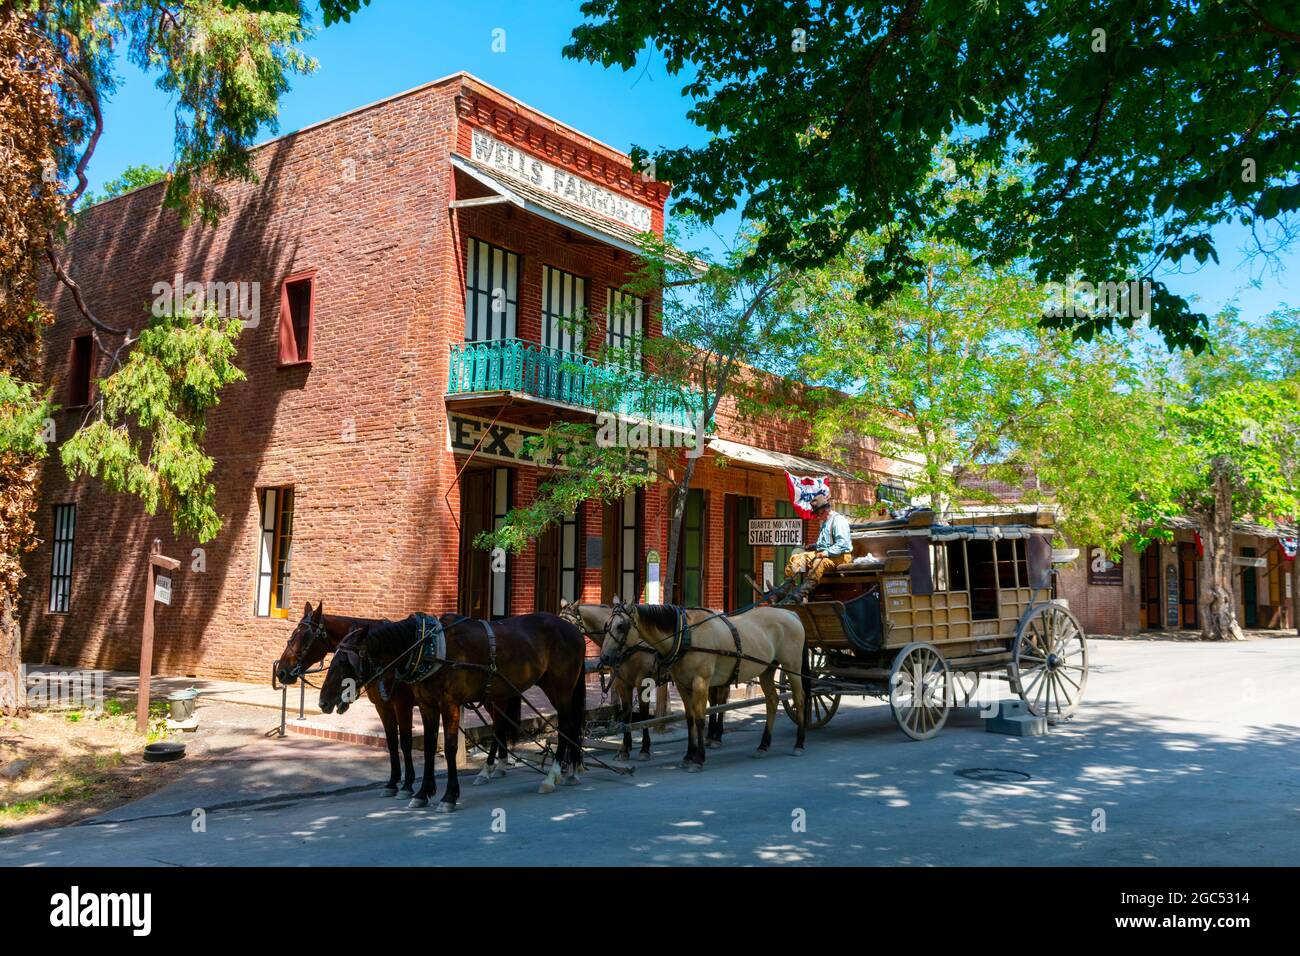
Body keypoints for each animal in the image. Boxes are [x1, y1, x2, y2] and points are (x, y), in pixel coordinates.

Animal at [275, 602, 523, 796]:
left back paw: (489, 768)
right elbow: (392, 742)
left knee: (498, 725)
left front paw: (407, 784)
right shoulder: (383, 707)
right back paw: (499, 765)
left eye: (301, 637)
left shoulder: (401, 704)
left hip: (493, 697)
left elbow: (405, 742)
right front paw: (393, 782)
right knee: (500, 726)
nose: (282, 672)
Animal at [320, 611, 586, 812]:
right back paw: (569, 771)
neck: (426, 648)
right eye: (333, 659)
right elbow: (428, 746)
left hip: (561, 687)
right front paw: (422, 793)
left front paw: (448, 796)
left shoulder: (447, 704)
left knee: (565, 725)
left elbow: (448, 748)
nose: (323, 702)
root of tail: (573, 629)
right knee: (560, 724)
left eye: (345, 662)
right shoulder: (426, 705)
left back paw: (551, 776)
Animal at [564, 600, 732, 759]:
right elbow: (627, 714)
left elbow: (643, 715)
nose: (604, 657)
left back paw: (717, 736)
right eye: (607, 626)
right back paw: (710, 736)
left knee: (721, 700)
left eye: (568, 624)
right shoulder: (622, 684)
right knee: (714, 701)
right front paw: (625, 749)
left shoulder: (642, 682)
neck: (630, 647)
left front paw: (644, 749)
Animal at [603, 603, 808, 771]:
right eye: (606, 625)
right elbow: (690, 719)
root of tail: (790, 613)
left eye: (621, 626)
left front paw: (699, 758)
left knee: (800, 699)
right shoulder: (683, 685)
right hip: (767, 670)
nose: (604, 657)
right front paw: (688, 755)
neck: (686, 636)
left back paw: (799, 743)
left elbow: (701, 718)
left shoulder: (700, 682)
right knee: (772, 702)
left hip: (792, 668)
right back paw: (763, 745)